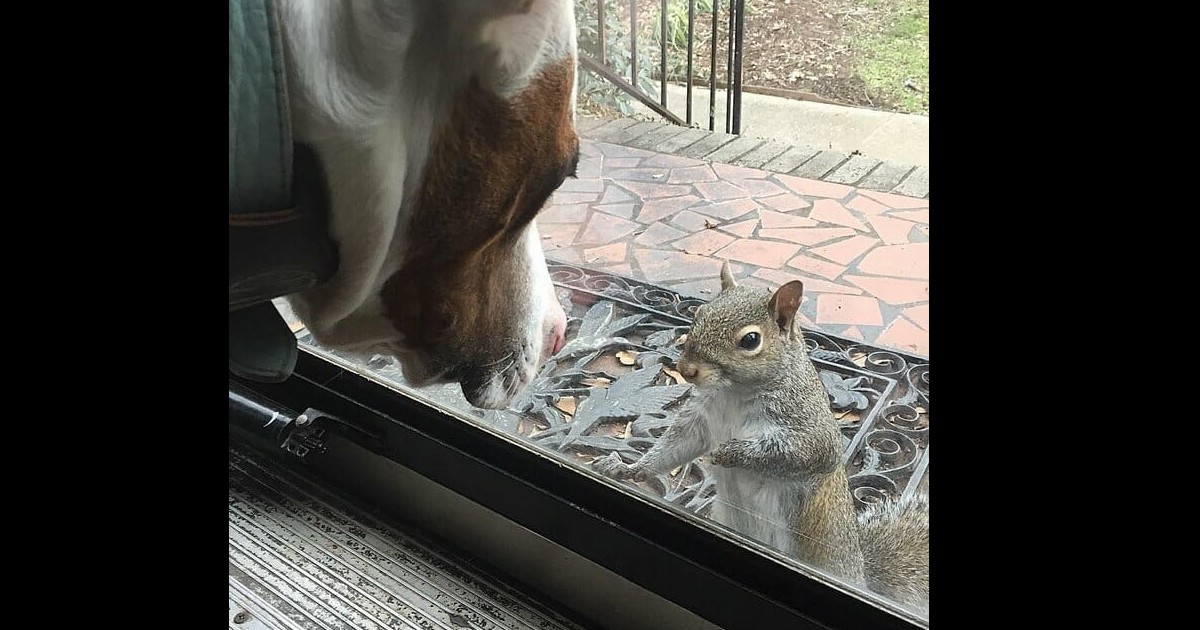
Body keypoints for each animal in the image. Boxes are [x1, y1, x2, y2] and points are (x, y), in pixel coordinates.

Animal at [593, 262, 928, 614]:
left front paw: (729, 452)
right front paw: (630, 468)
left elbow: (798, 452)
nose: (687, 370)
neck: (734, 393)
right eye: (700, 313)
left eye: (751, 340)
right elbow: (675, 446)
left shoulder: (809, 427)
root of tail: (859, 574)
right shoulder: (700, 420)